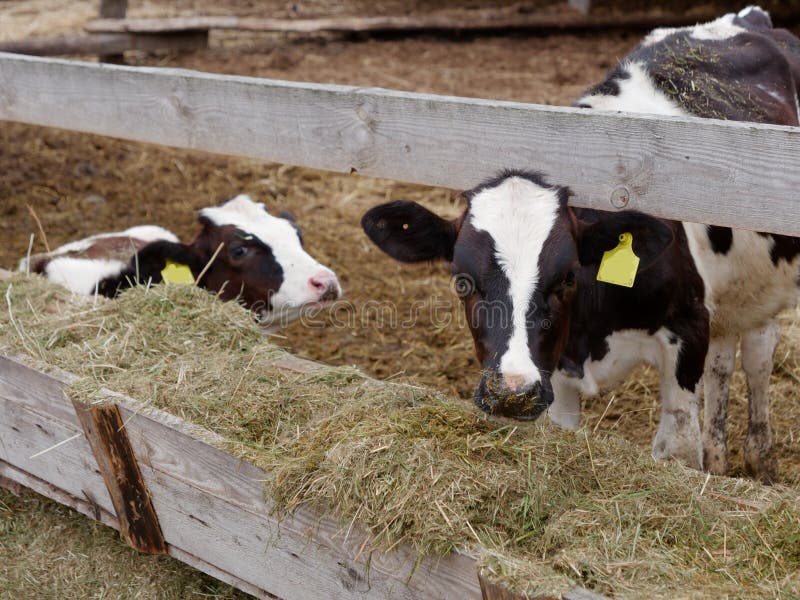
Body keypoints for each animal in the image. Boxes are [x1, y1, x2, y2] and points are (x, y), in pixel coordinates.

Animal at [361, 6, 800, 482]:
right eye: (462, 282)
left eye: (567, 278)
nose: (511, 393)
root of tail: (748, 16)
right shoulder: (557, 370)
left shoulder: (688, 327)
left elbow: (677, 448)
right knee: (725, 356)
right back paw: (720, 459)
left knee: (758, 354)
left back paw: (760, 458)